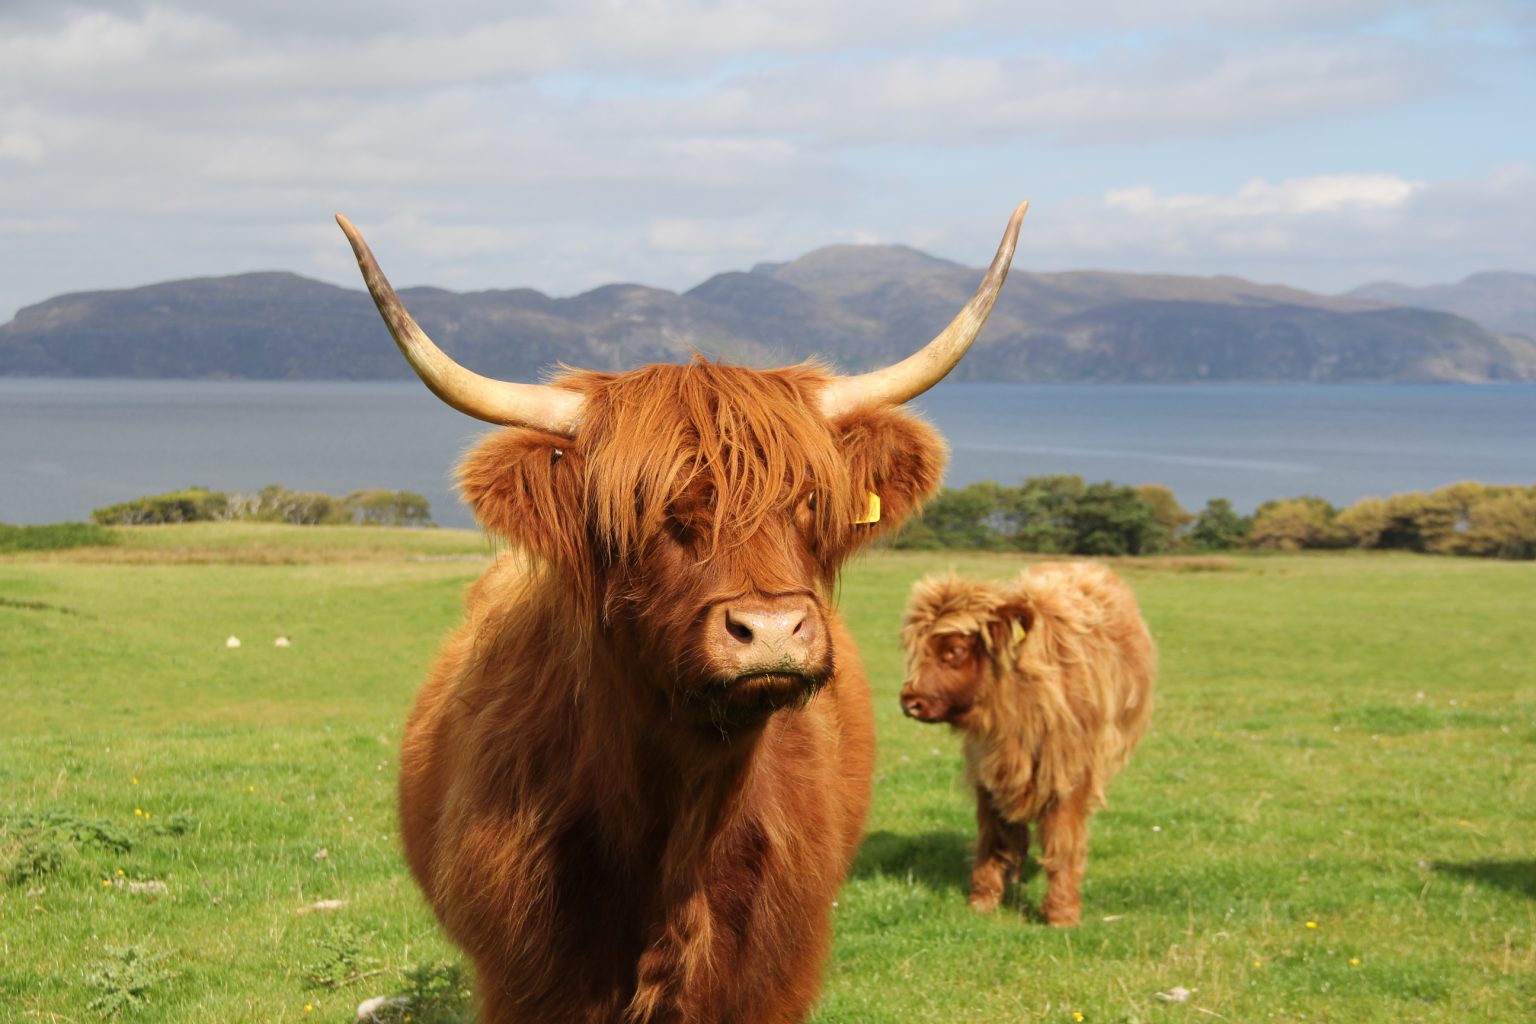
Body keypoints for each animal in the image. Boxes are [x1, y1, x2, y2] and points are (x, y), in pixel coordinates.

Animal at [898, 562, 1154, 926]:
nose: (910, 701)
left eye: (954, 651)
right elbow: (994, 835)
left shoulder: (1068, 771)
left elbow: (1063, 840)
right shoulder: (988, 769)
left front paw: (1062, 914)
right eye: (917, 650)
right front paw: (983, 900)